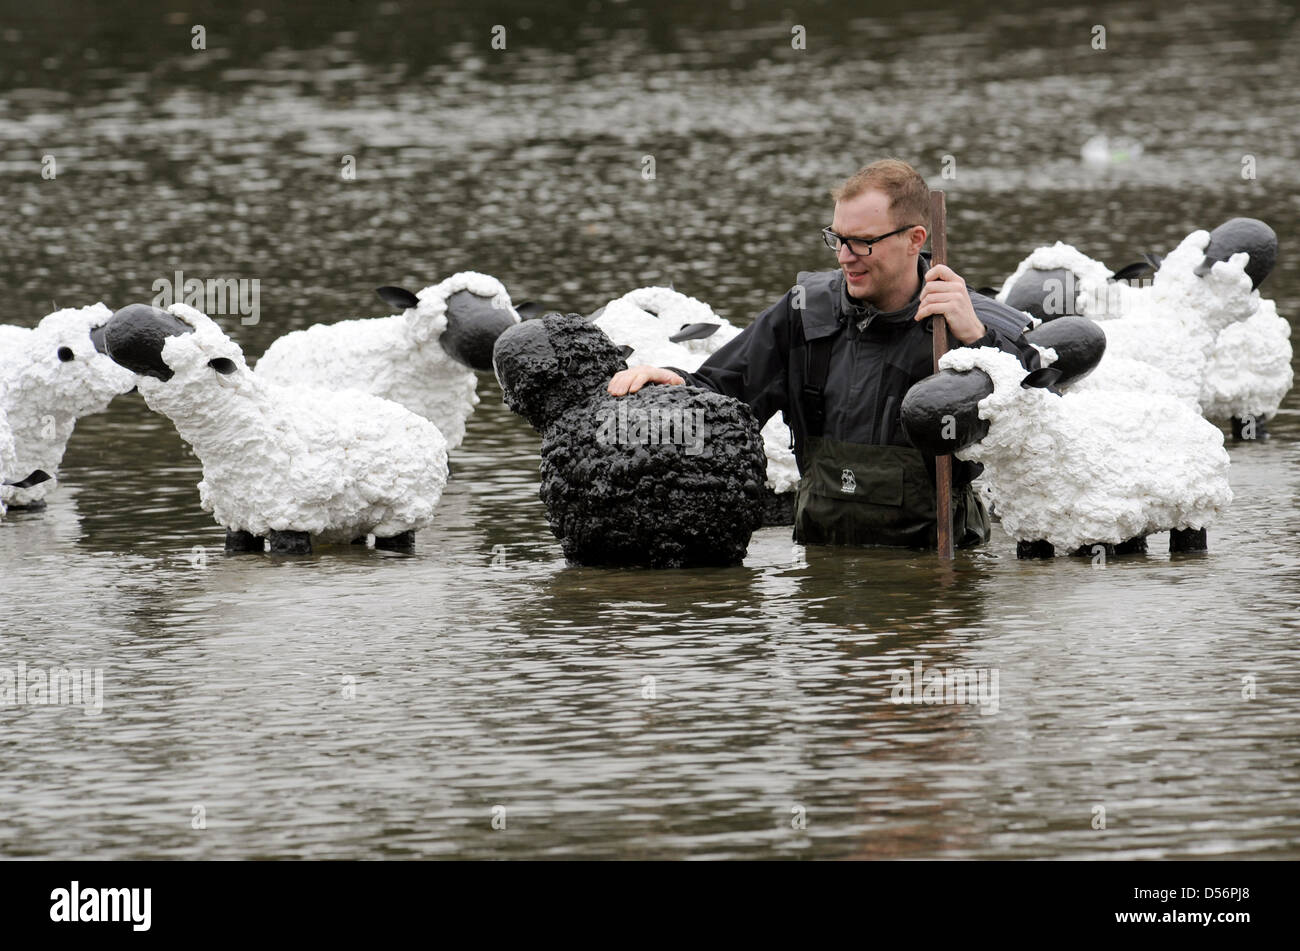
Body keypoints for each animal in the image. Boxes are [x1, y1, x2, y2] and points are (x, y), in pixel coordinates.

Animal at [100, 302, 449, 554]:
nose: (118, 323)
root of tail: (425, 424)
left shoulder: (292, 522)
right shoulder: (238, 522)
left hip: (402, 515)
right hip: (352, 517)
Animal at [901, 320, 1232, 557]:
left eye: (989, 387)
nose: (915, 414)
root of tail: (1188, 411)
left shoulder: (1094, 526)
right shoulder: (1031, 530)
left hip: (1192, 511)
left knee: (1190, 536)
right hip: (1135, 515)